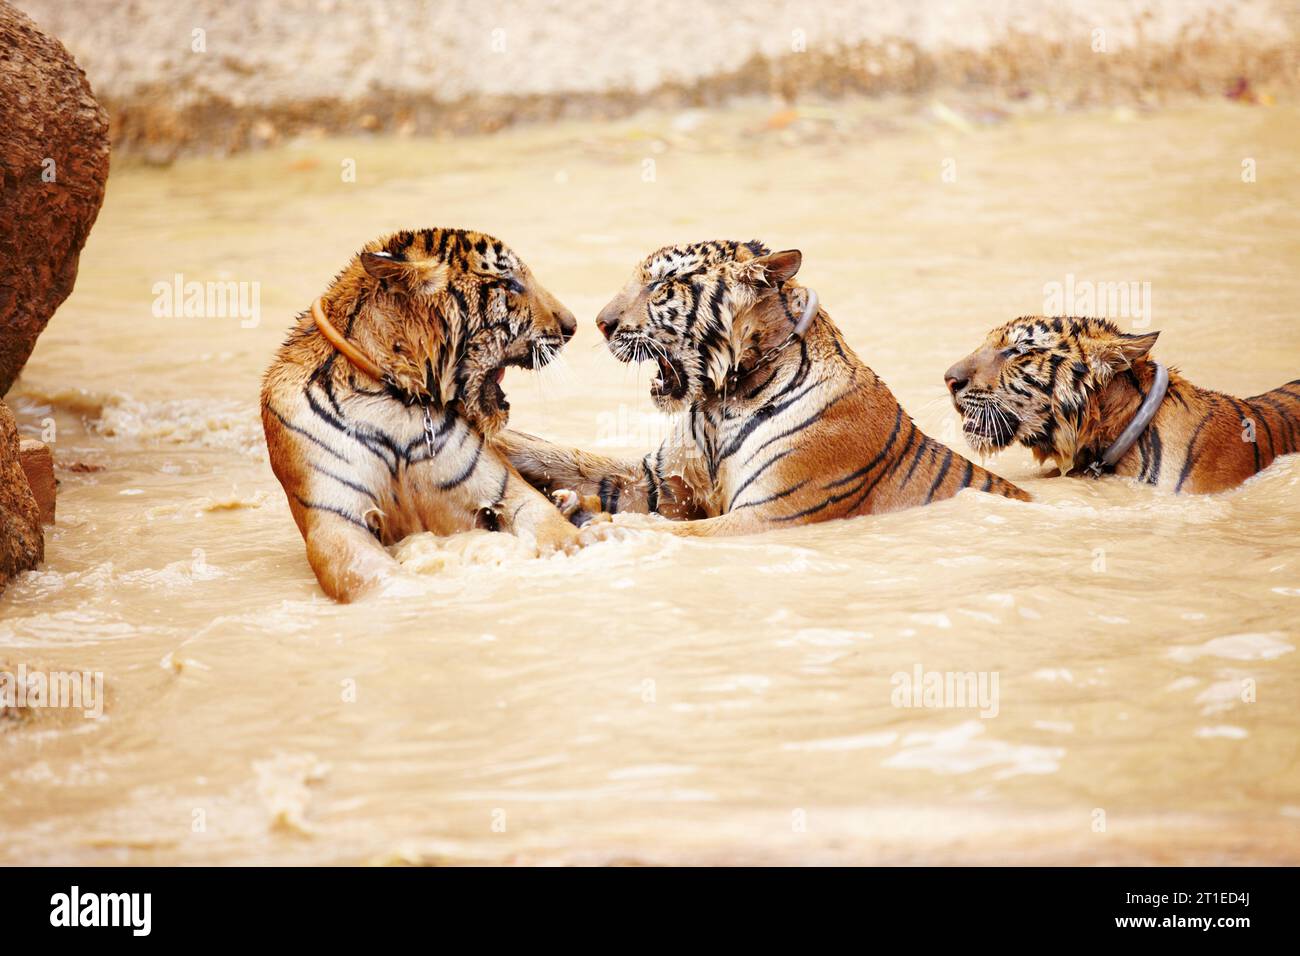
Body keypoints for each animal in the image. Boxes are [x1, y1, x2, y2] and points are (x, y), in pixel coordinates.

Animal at [260, 228, 590, 601]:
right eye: (508, 283)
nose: (572, 326)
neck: (396, 396)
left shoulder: (507, 492)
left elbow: (554, 529)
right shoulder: (335, 518)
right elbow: (365, 574)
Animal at [497, 239, 1029, 538]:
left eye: (664, 284)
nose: (601, 322)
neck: (722, 400)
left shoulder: (767, 516)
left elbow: (681, 535)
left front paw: (592, 520)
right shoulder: (663, 482)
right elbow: (570, 459)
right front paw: (503, 441)